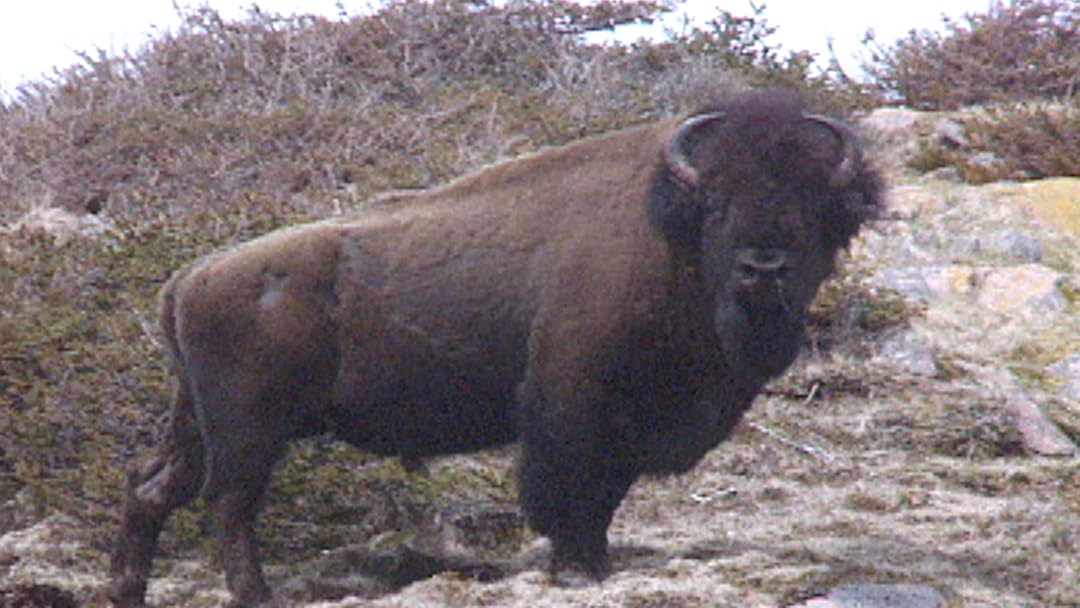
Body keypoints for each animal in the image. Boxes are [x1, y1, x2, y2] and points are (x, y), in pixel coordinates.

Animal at [109, 89, 884, 606]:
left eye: (812, 208)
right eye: (717, 205)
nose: (763, 266)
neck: (670, 238)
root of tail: (191, 275)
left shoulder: (628, 428)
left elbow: (605, 498)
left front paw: (596, 565)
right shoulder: (571, 405)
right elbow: (568, 490)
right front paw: (575, 568)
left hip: (199, 424)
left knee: (152, 488)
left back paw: (127, 590)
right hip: (250, 429)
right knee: (228, 506)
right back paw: (257, 595)